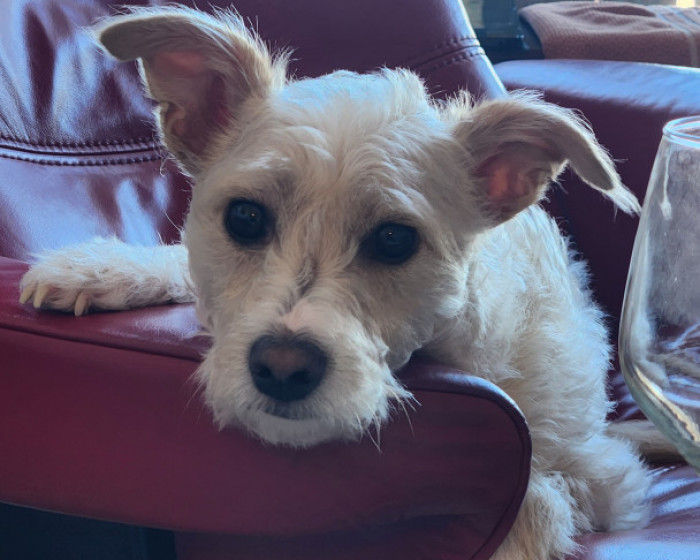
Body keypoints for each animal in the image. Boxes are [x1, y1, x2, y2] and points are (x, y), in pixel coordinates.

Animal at [19, 7, 661, 559]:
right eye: (244, 217)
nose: (282, 368)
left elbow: (538, 502)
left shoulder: (606, 476)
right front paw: (98, 270)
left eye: (395, 240)